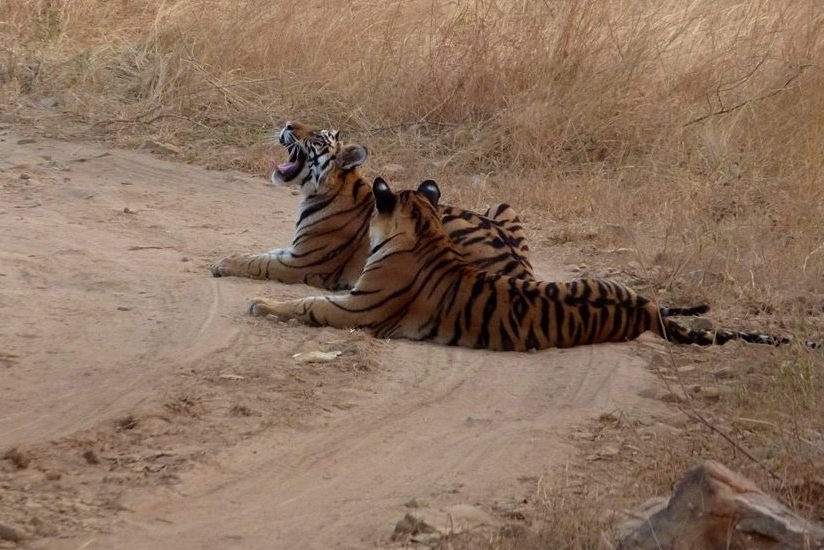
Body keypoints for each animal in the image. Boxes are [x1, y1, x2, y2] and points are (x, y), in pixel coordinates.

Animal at [211, 121, 534, 290]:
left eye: (317, 137)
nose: (288, 123)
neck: (317, 191)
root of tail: (519, 267)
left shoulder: (302, 262)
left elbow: (260, 262)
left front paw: (224, 264)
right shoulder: (294, 249)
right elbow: (262, 252)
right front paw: (230, 257)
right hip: (502, 206)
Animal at [247, 177, 817, 351]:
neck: (426, 230)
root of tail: (643, 309)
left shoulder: (354, 309)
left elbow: (306, 302)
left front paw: (259, 304)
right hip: (606, 282)